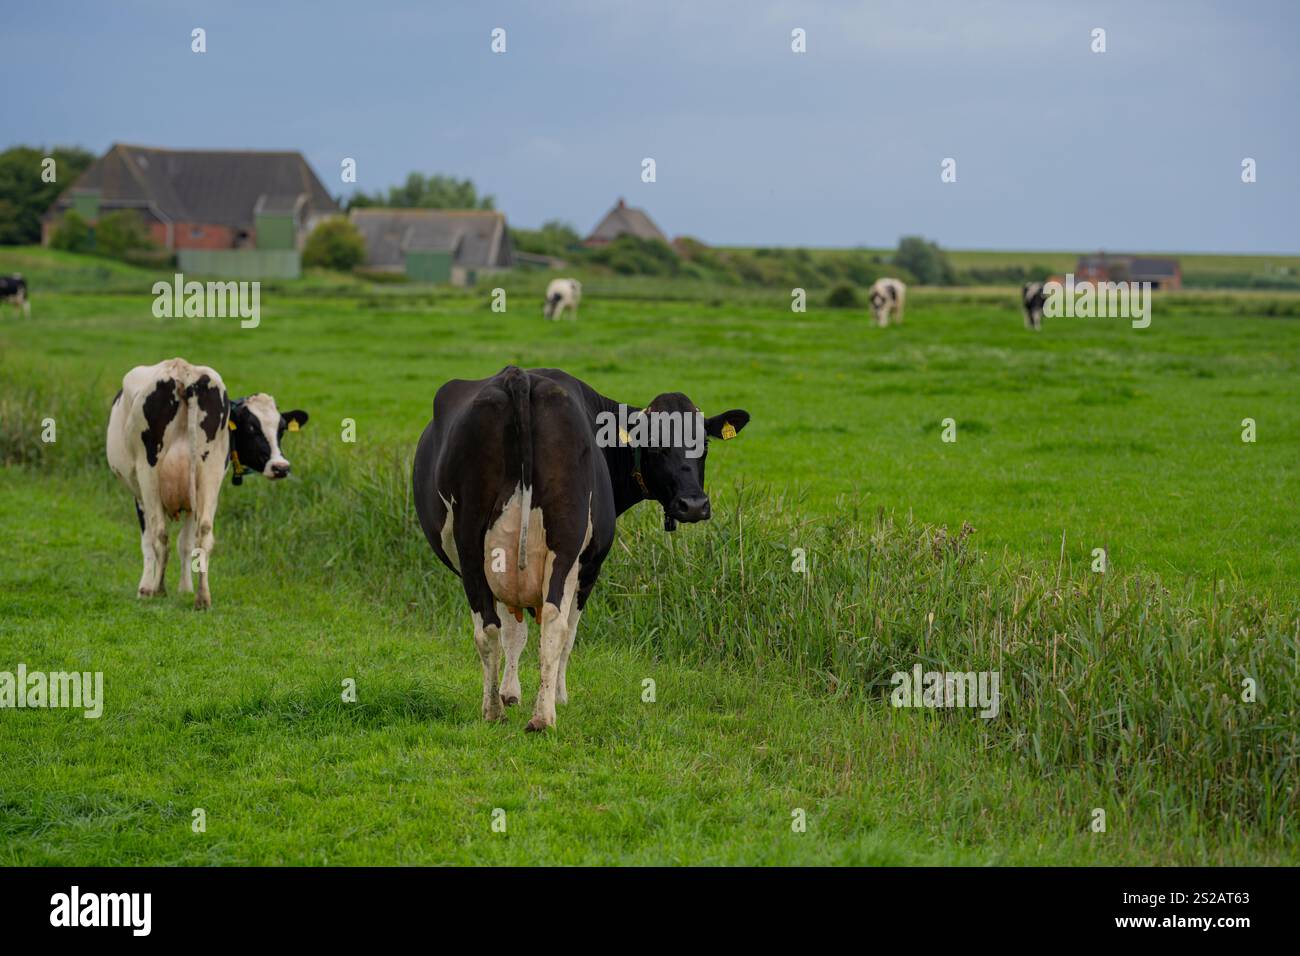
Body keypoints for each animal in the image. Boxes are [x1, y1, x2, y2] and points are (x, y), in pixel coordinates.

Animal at [106, 357, 308, 609]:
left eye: (281, 429)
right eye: (252, 427)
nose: (280, 467)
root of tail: (185, 371)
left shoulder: (140, 495)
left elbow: (150, 541)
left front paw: (146, 589)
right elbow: (185, 542)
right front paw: (185, 589)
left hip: (149, 472)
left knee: (160, 534)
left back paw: (159, 590)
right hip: (209, 472)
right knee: (204, 531)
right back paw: (202, 597)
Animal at [412, 366, 750, 732]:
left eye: (704, 445)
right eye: (655, 446)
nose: (694, 504)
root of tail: (518, 376)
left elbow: (513, 632)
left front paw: (510, 693)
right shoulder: (589, 567)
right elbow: (565, 634)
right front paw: (555, 695)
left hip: (474, 550)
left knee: (489, 629)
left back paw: (496, 712)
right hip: (564, 542)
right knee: (555, 624)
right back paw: (543, 716)